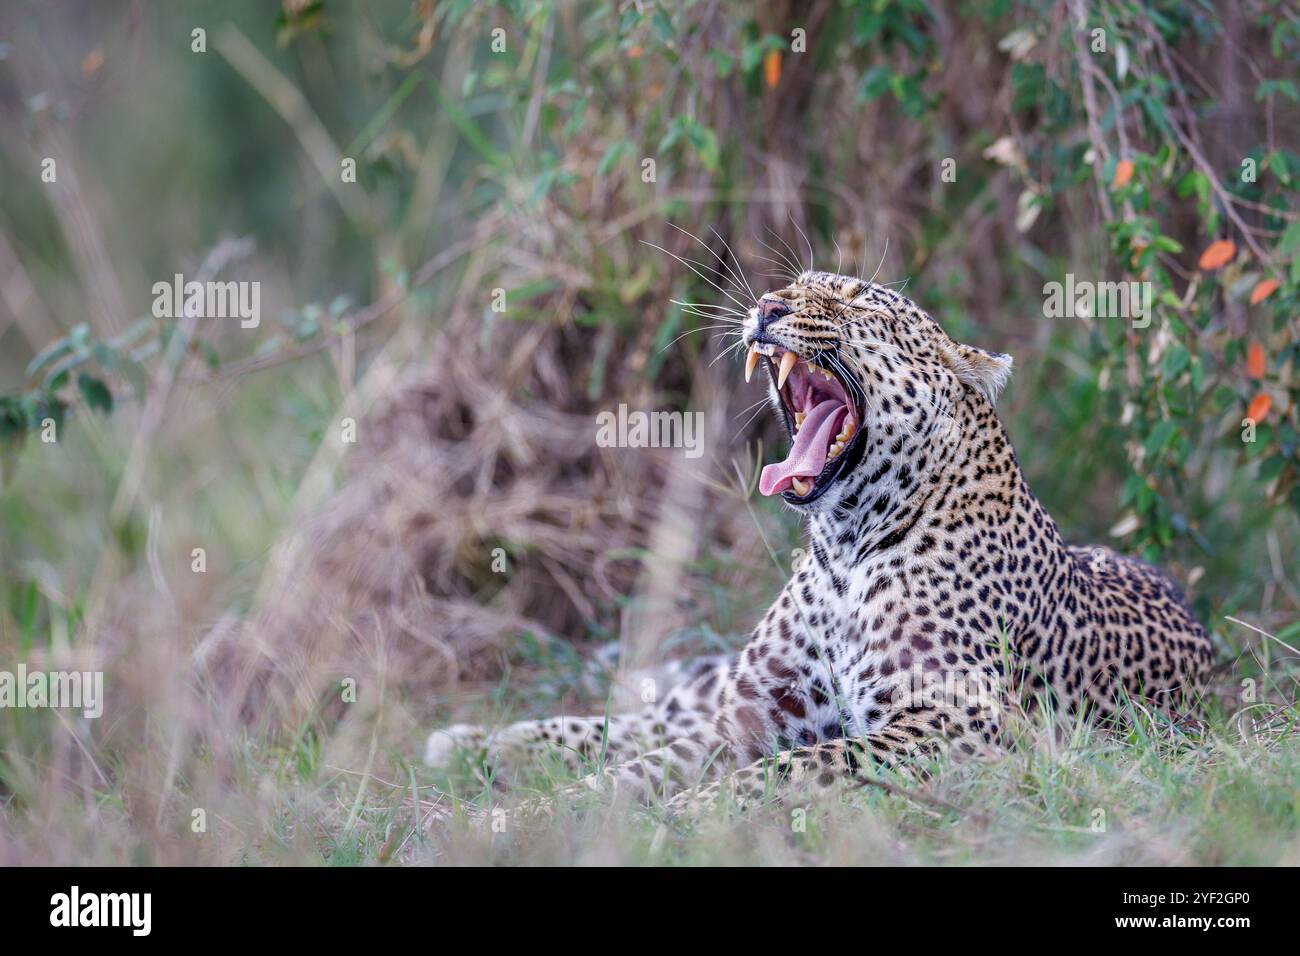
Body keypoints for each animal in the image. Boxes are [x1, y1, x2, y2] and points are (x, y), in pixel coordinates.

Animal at [425, 269, 1214, 813]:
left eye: (862, 304)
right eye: (795, 288)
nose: (768, 307)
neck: (843, 549)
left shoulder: (953, 722)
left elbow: (789, 767)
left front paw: (688, 814)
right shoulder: (746, 715)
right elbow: (637, 767)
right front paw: (534, 815)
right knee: (641, 720)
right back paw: (471, 743)